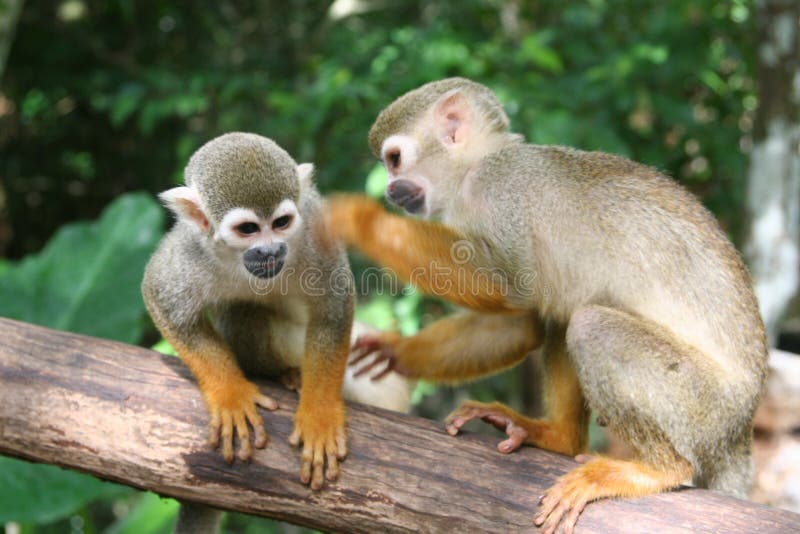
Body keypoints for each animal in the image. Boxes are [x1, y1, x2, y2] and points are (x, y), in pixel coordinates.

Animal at [325, 78, 768, 533]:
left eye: (394, 160)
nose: (388, 189)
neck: (477, 167)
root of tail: (742, 427)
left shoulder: (501, 191)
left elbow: (507, 287)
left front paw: (360, 220)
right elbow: (523, 319)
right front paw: (396, 351)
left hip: (704, 407)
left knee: (590, 324)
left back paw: (658, 469)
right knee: (566, 312)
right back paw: (558, 437)